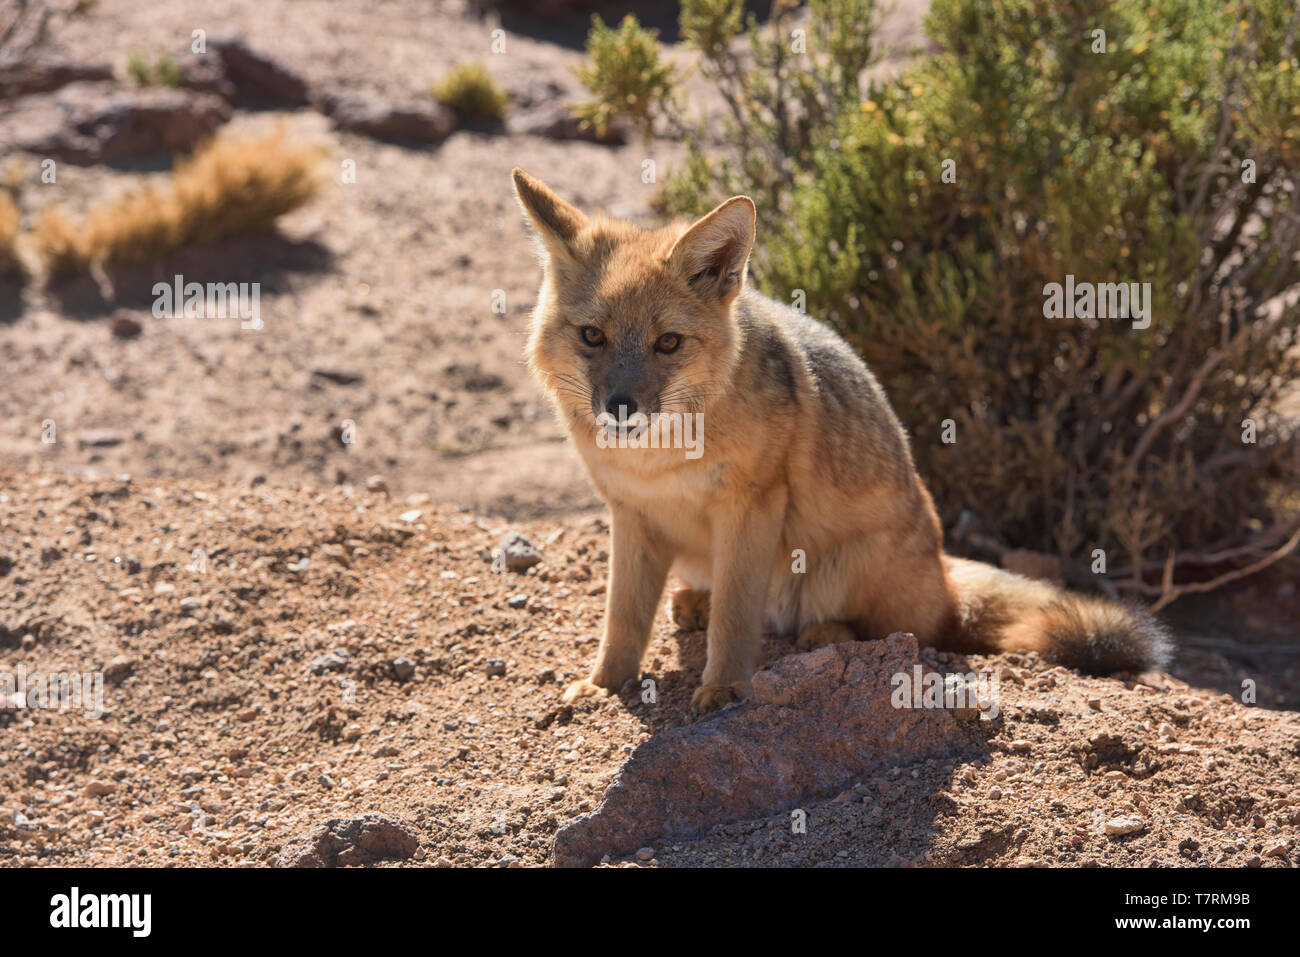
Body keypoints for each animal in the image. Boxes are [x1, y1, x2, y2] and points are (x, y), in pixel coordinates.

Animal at [511, 168, 1172, 715]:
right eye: (592, 336)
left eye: (667, 343)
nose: (620, 408)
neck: (655, 464)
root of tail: (942, 574)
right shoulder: (632, 513)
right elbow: (622, 619)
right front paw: (602, 686)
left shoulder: (751, 505)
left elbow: (735, 615)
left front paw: (723, 686)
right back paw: (696, 602)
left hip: (835, 571)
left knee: (894, 631)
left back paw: (824, 633)